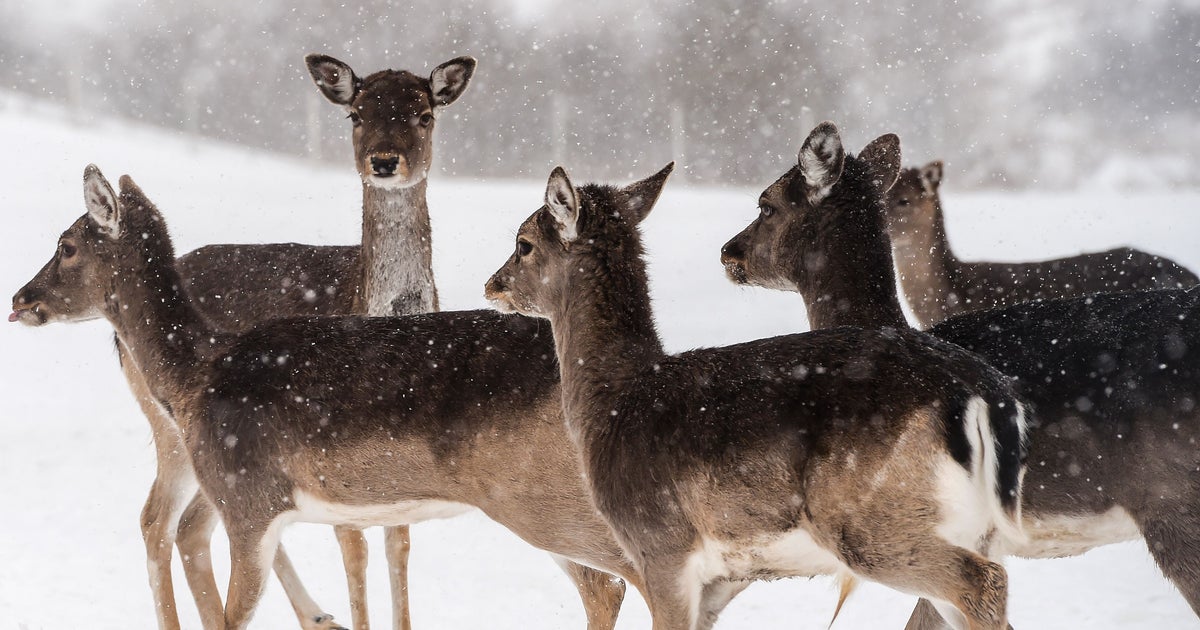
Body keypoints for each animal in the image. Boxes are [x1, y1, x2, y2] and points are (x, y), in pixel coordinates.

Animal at [11, 166, 637, 629]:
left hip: (541, 494)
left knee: (614, 580)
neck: (193, 373)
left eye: (66, 245)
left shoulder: (248, 501)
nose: (20, 298)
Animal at [484, 162, 1030, 630]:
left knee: (982, 582)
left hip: (868, 519)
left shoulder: (660, 546)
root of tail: (984, 394)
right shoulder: (721, 580)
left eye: (524, 243)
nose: (493, 284)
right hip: (969, 526)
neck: (613, 402)